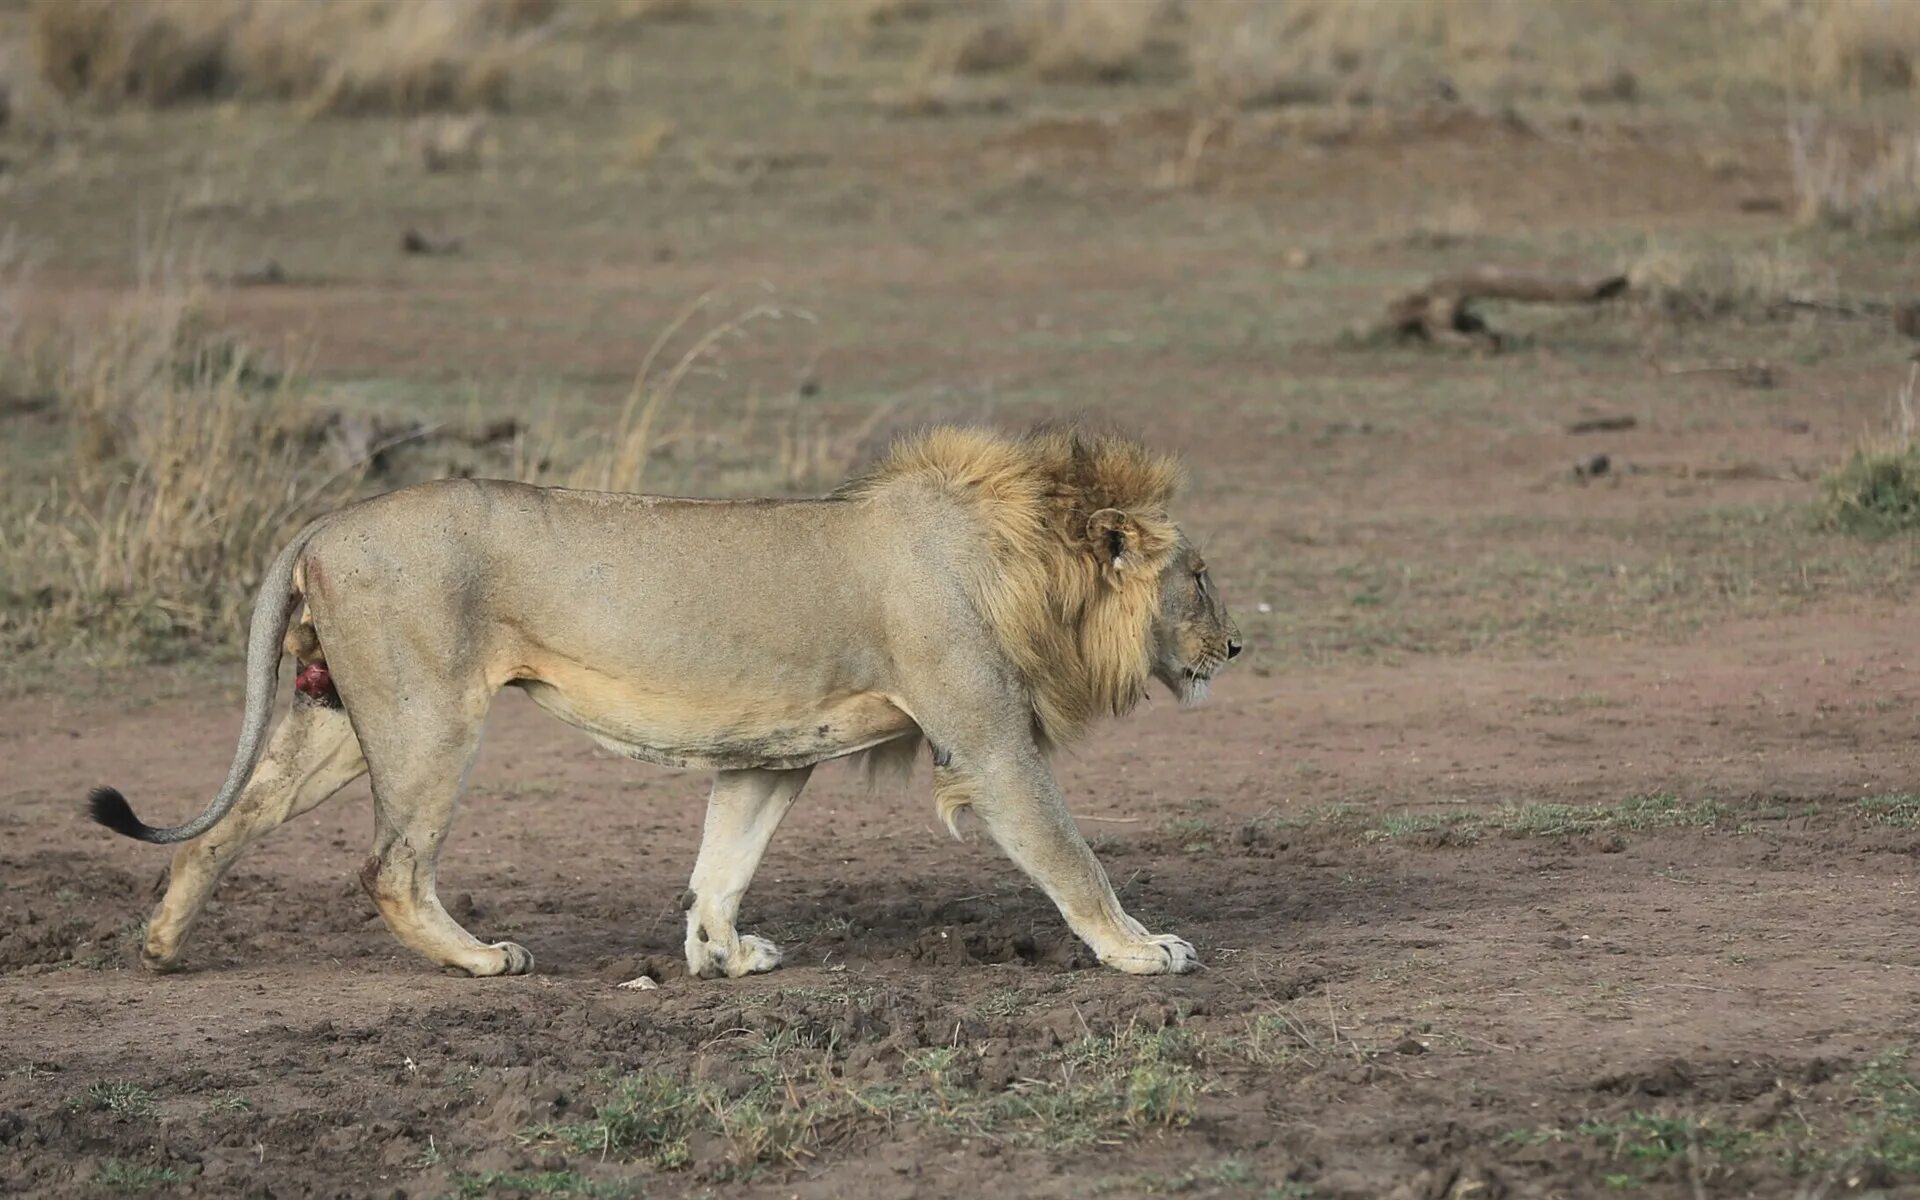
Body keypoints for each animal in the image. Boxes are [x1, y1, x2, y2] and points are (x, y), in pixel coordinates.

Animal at [87, 425, 1243, 980]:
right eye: (1197, 577)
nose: (1237, 645)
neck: (1023, 560)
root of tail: (326, 519)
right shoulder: (990, 742)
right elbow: (1071, 856)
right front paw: (1143, 950)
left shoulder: (772, 753)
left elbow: (723, 864)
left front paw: (722, 956)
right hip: (429, 715)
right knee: (390, 867)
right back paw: (482, 959)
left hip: (339, 719)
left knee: (221, 828)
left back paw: (161, 948)